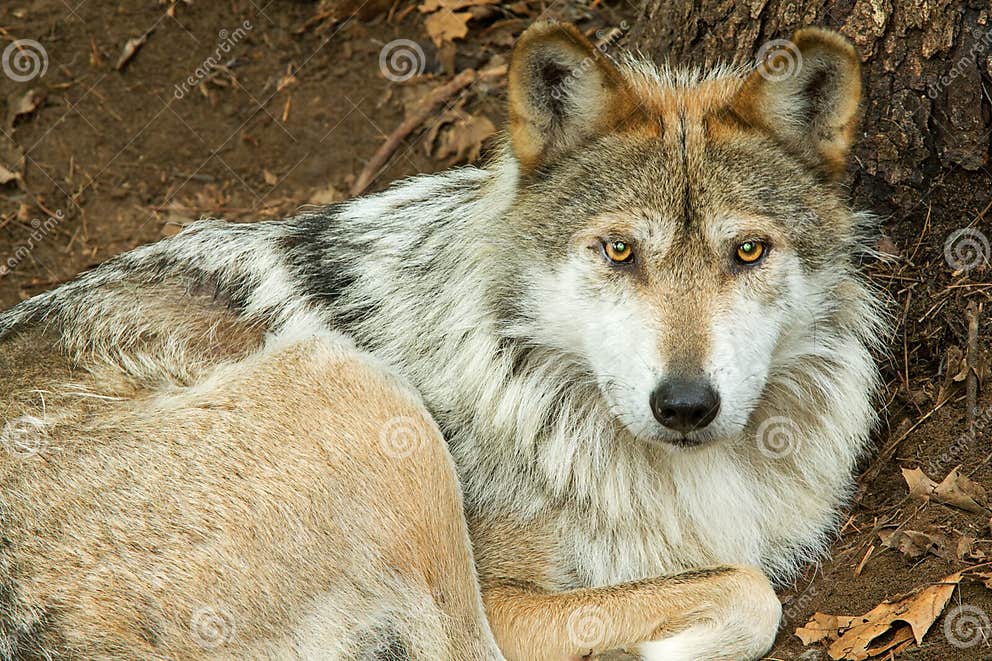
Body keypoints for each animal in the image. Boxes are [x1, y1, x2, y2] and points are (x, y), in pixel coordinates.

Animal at [0, 21, 883, 660]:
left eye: (748, 251)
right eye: (620, 250)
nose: (687, 404)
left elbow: (746, 584)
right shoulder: (512, 601)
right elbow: (748, 589)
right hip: (365, 401)